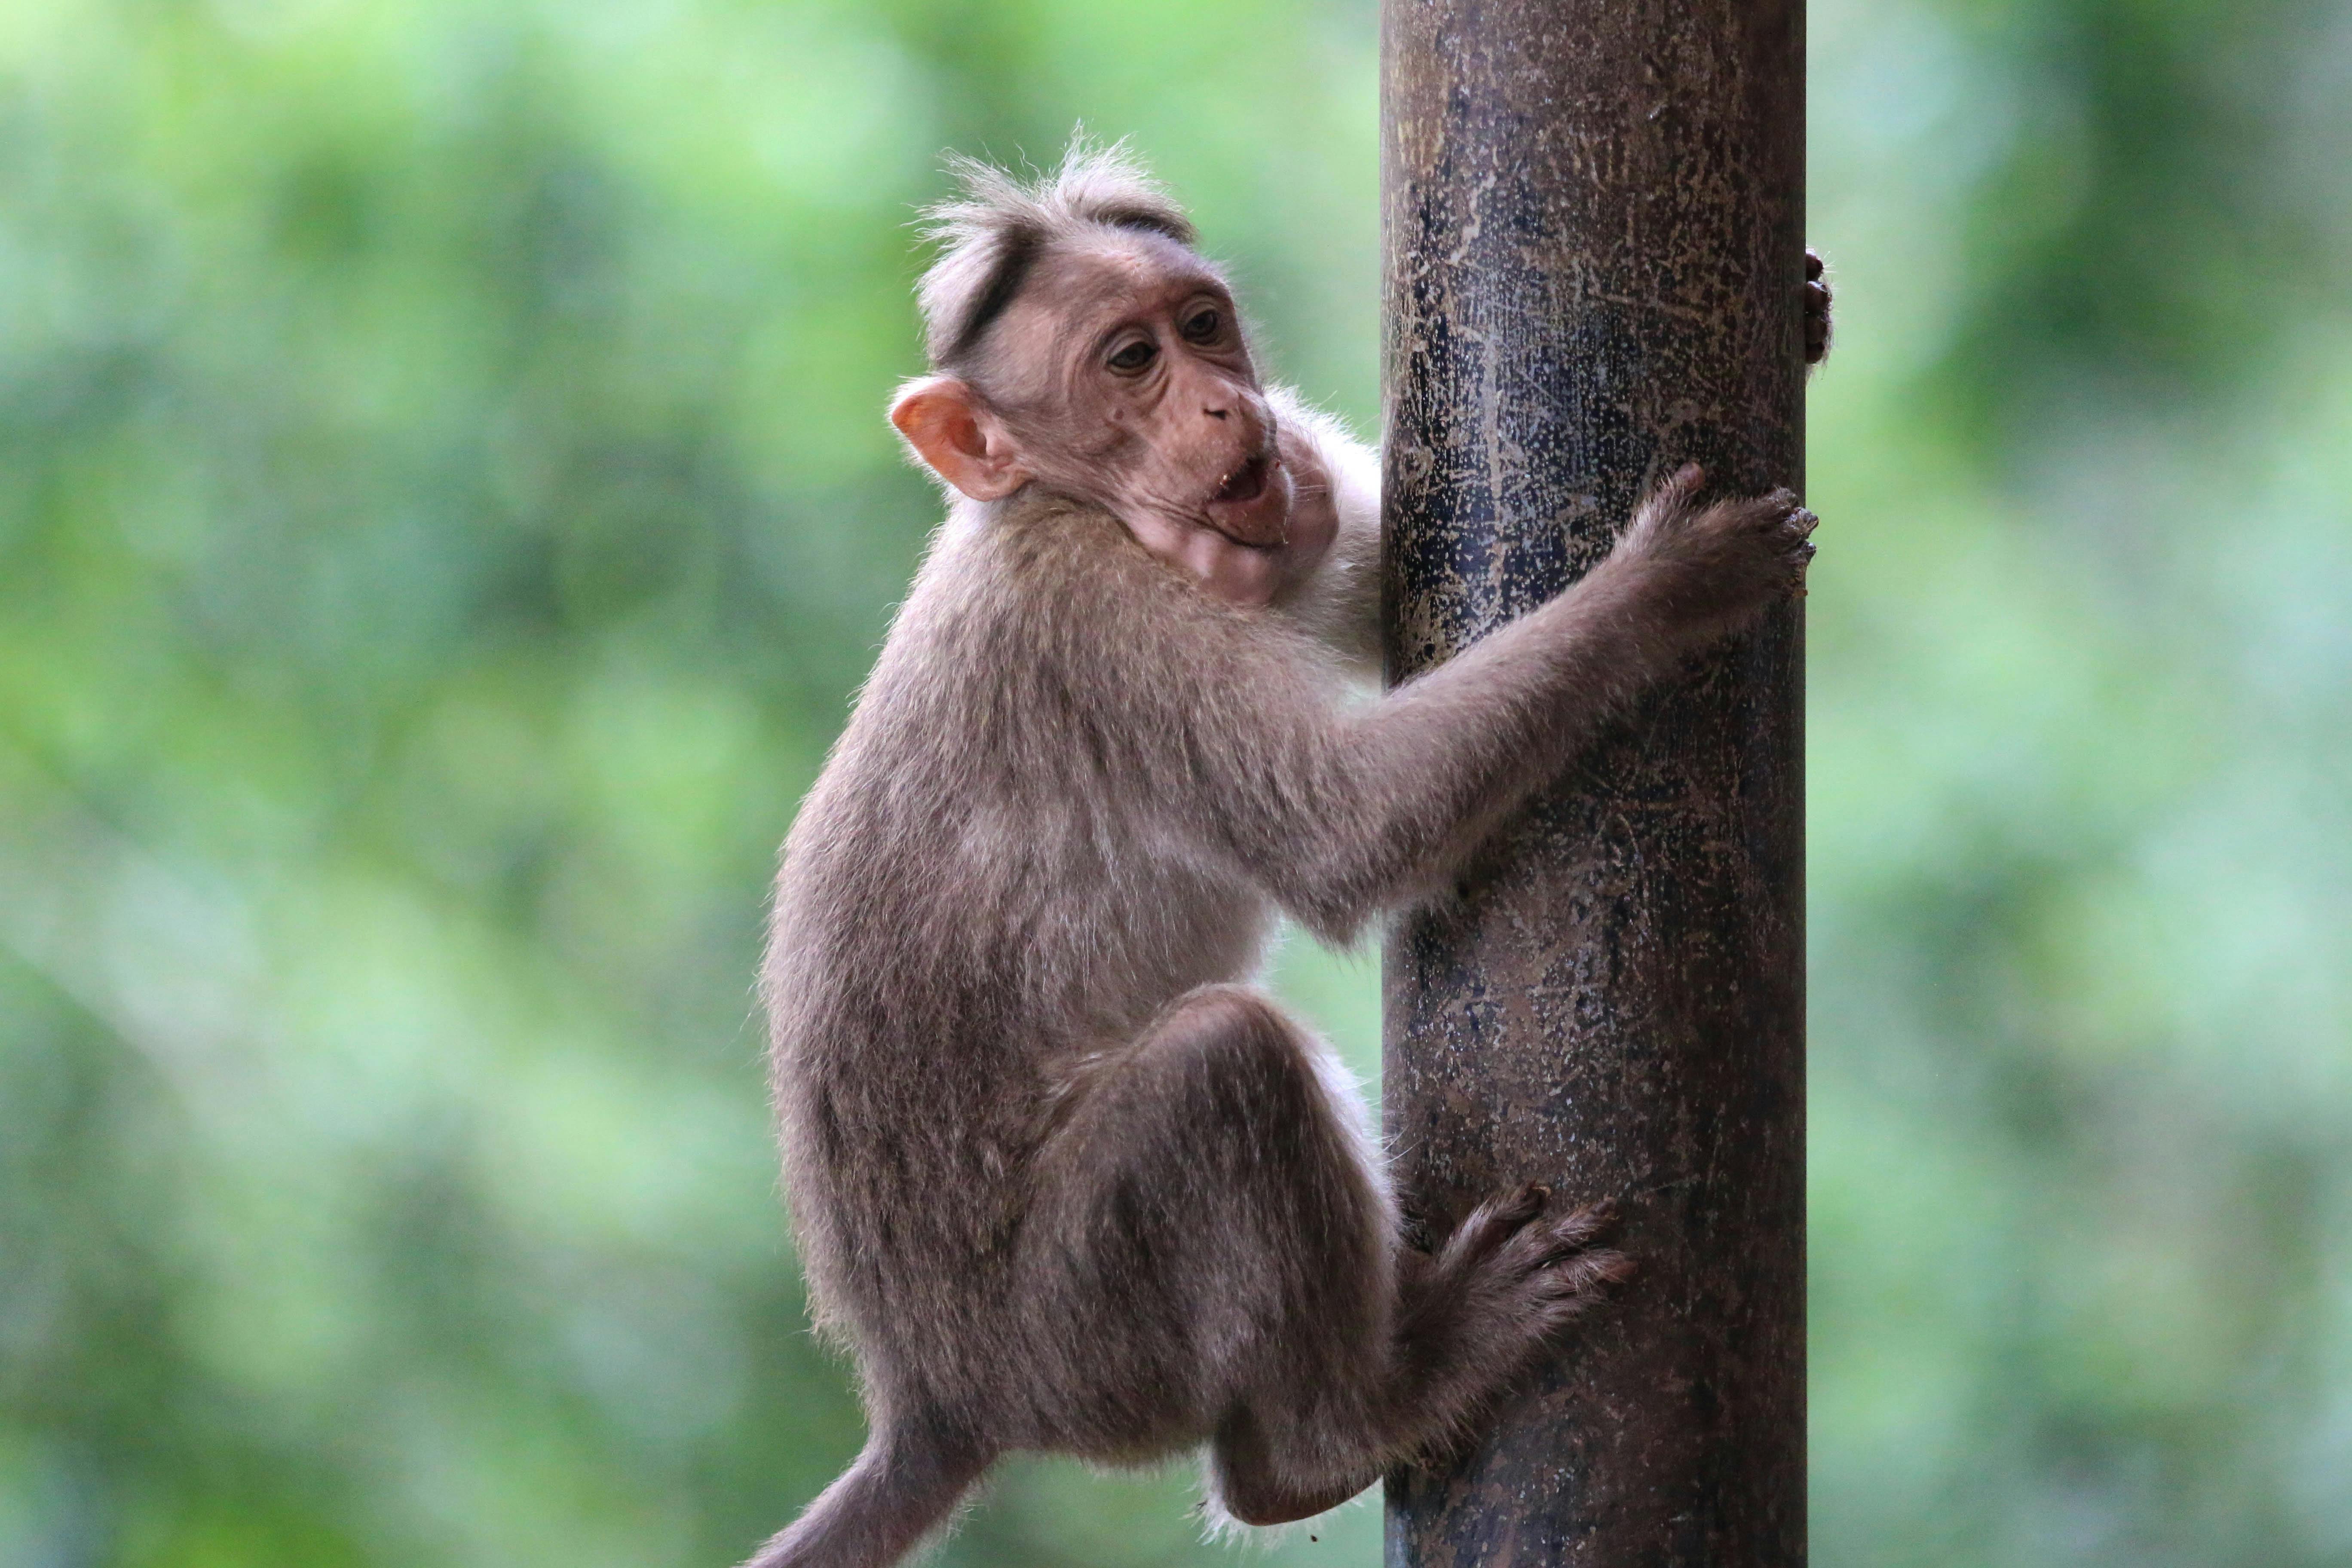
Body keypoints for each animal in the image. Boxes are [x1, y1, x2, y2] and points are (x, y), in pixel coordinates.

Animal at [751, 141, 1828, 1568]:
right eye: (1129, 362)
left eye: (1204, 326)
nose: (1226, 405)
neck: (1071, 507)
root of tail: (935, 1397)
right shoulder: (1112, 626)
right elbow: (1344, 831)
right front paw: (1663, 589)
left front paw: (1807, 313)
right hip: (1077, 1327)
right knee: (1225, 1066)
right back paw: (1334, 1434)